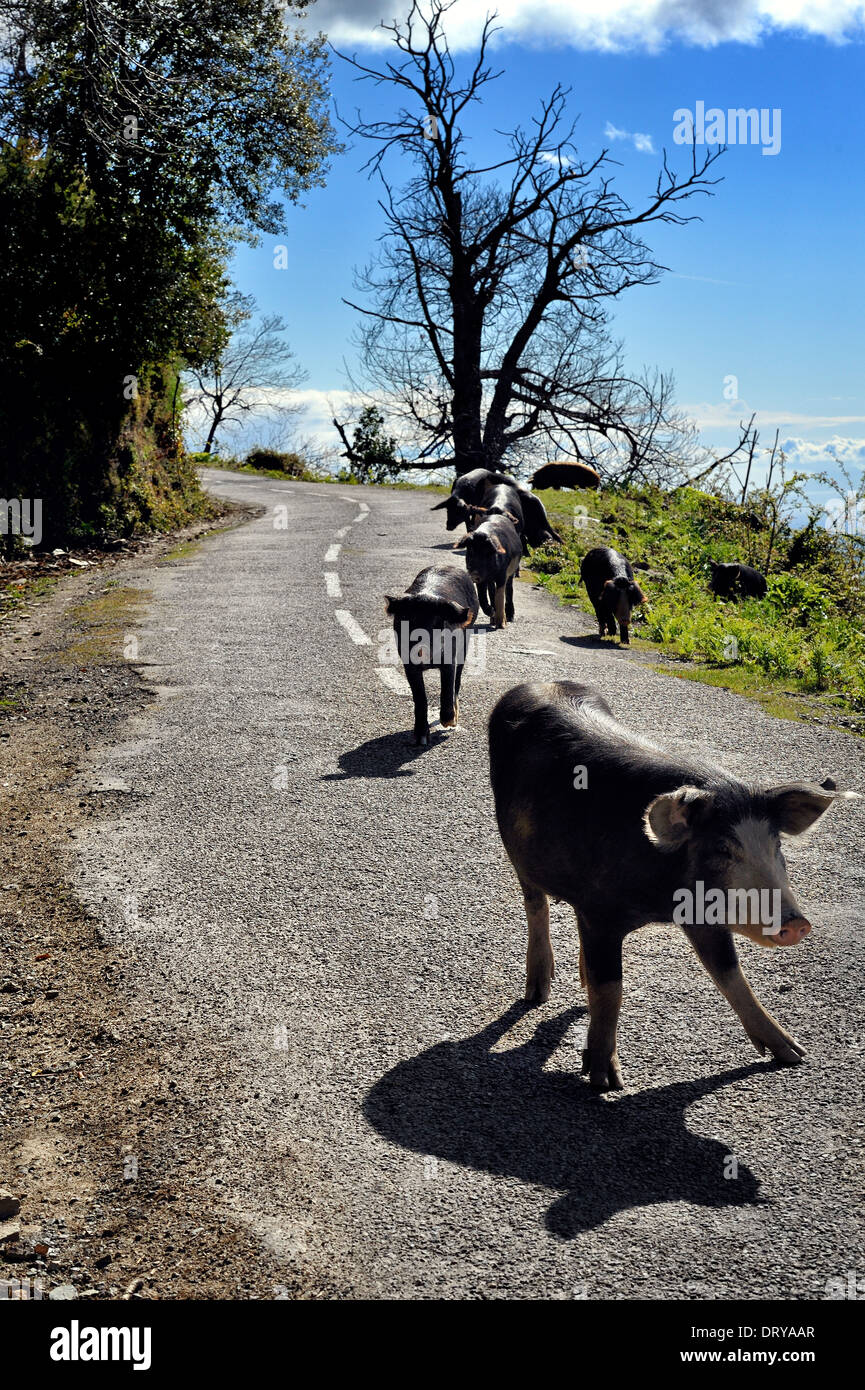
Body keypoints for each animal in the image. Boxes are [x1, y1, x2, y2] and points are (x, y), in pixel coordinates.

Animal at [384, 565, 478, 746]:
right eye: (407, 619)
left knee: (457, 681)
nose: (421, 650)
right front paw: (420, 740)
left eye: (436, 622)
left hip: (466, 642)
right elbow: (420, 698)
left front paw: (448, 723)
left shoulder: (450, 658)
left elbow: (447, 688)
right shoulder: (409, 664)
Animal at [489, 680, 850, 1089]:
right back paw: (537, 993)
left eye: (776, 845)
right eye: (721, 849)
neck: (663, 904)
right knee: (536, 905)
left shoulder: (704, 917)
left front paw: (794, 1055)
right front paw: (606, 1081)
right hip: (514, 847)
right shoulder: (599, 913)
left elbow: (730, 974)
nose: (797, 923)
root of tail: (535, 683)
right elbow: (611, 988)